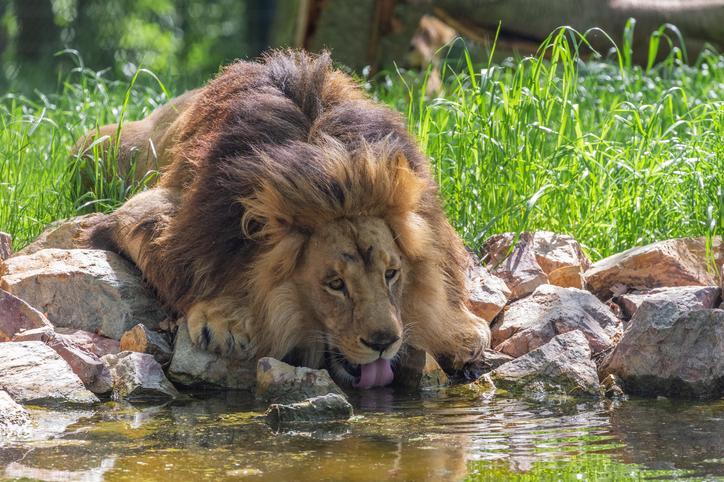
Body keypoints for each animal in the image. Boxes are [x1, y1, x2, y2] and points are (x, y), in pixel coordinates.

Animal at [78, 50, 490, 388]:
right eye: (335, 284)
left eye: (392, 274)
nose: (383, 343)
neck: (325, 164)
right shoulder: (156, 211)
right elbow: (179, 261)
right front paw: (225, 319)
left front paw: (463, 331)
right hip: (97, 145)